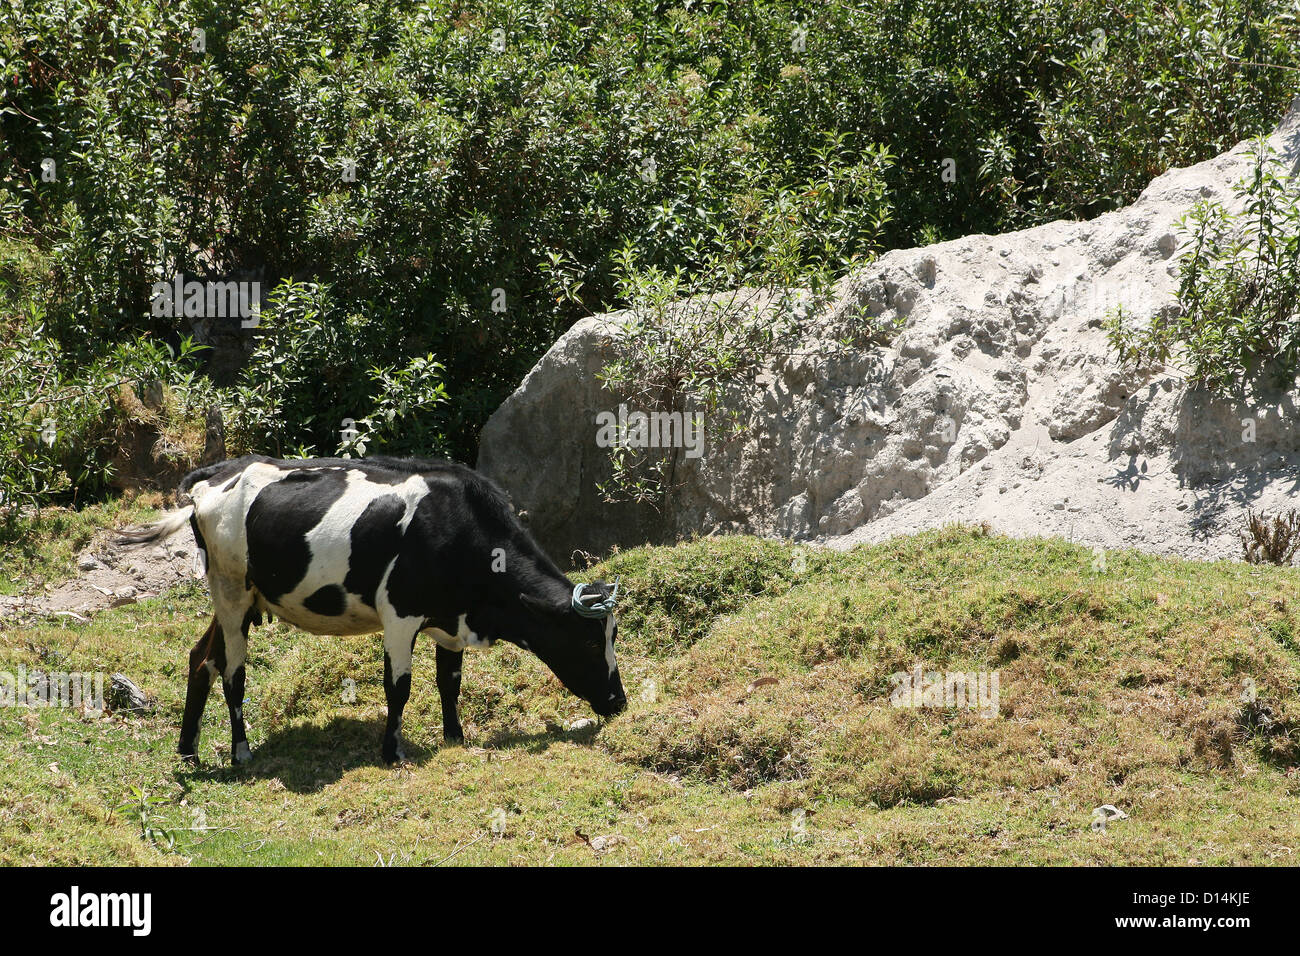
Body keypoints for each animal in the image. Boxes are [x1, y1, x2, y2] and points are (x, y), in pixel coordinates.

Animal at [119, 455, 628, 765]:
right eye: (589, 641)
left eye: (614, 636)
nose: (619, 702)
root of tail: (213, 475)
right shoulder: (400, 615)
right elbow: (398, 688)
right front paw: (392, 752)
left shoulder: (450, 621)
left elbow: (450, 682)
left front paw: (455, 737)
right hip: (231, 592)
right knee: (233, 673)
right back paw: (241, 751)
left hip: (240, 599)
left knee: (201, 658)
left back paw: (187, 749)